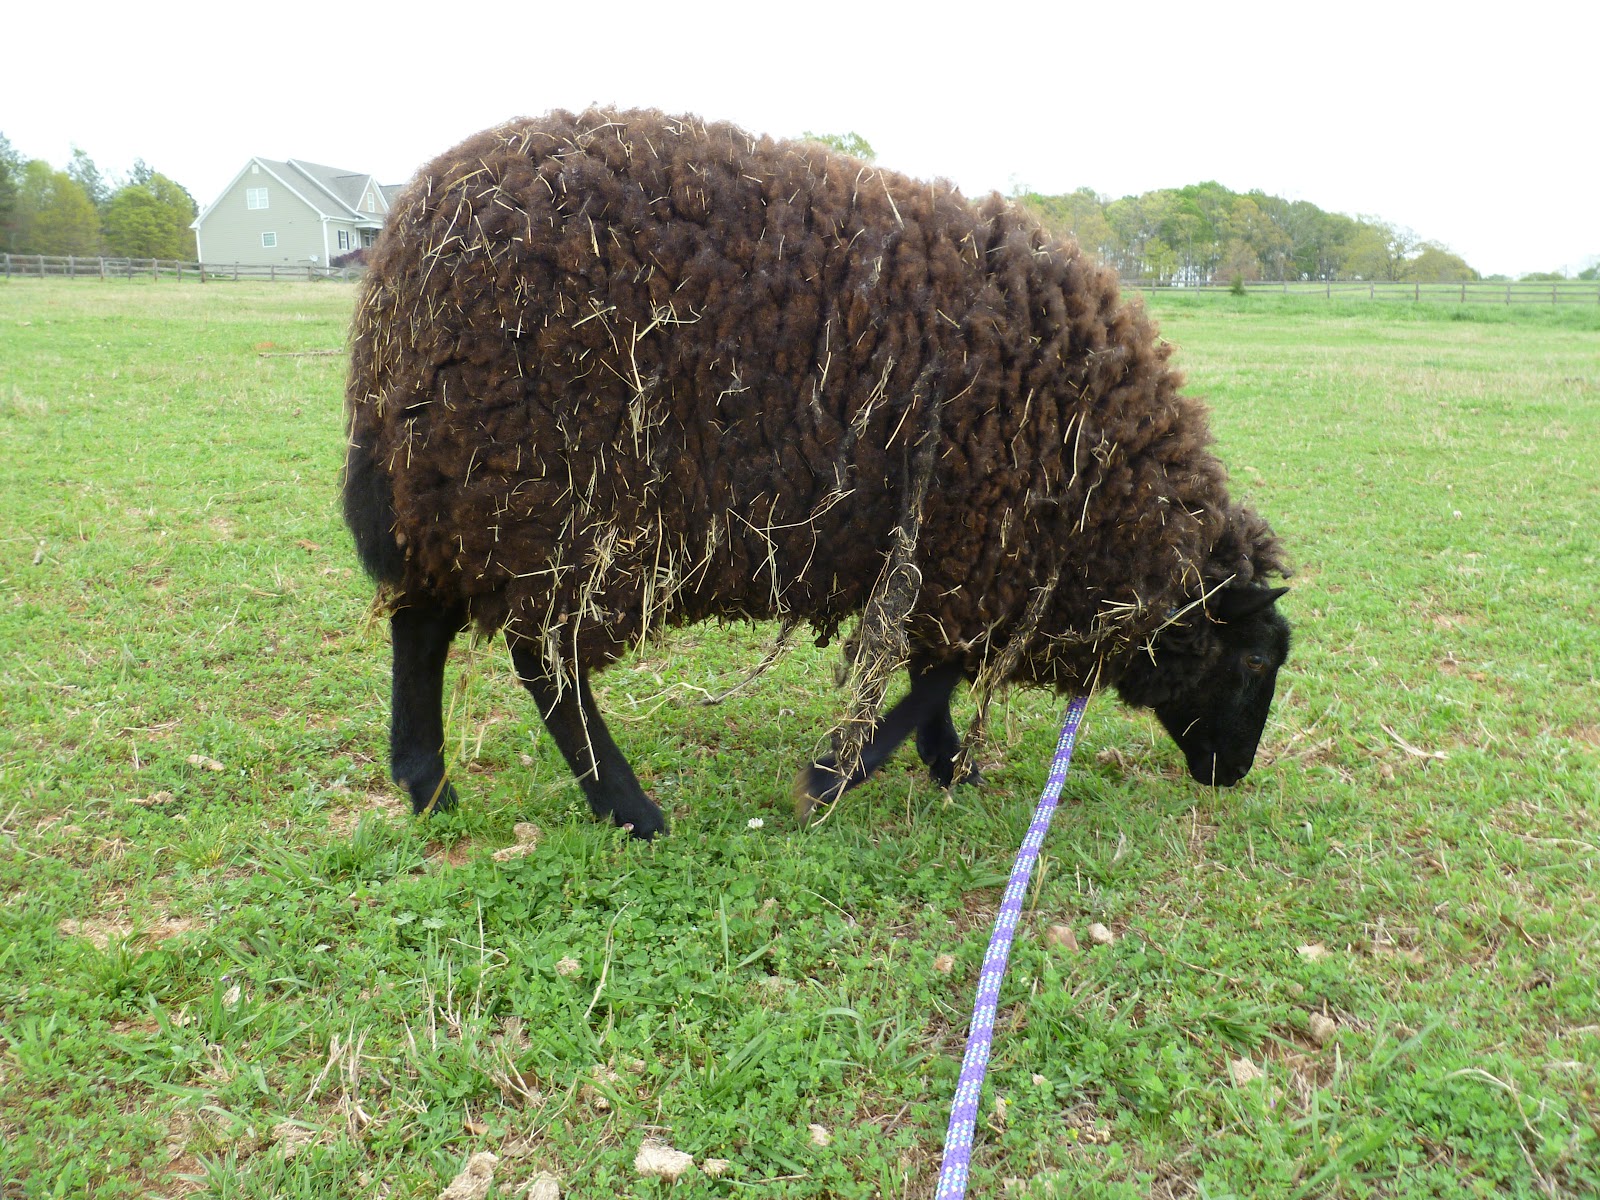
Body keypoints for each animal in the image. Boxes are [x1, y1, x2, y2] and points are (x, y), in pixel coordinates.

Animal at [343, 107, 1291, 839]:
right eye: (1252, 662)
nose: (1233, 773)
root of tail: (397, 263)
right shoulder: (975, 553)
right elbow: (926, 681)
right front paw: (837, 777)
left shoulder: (951, 563)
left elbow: (931, 675)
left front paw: (945, 764)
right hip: (549, 503)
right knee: (546, 665)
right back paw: (628, 809)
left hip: (452, 492)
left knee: (422, 627)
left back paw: (428, 786)